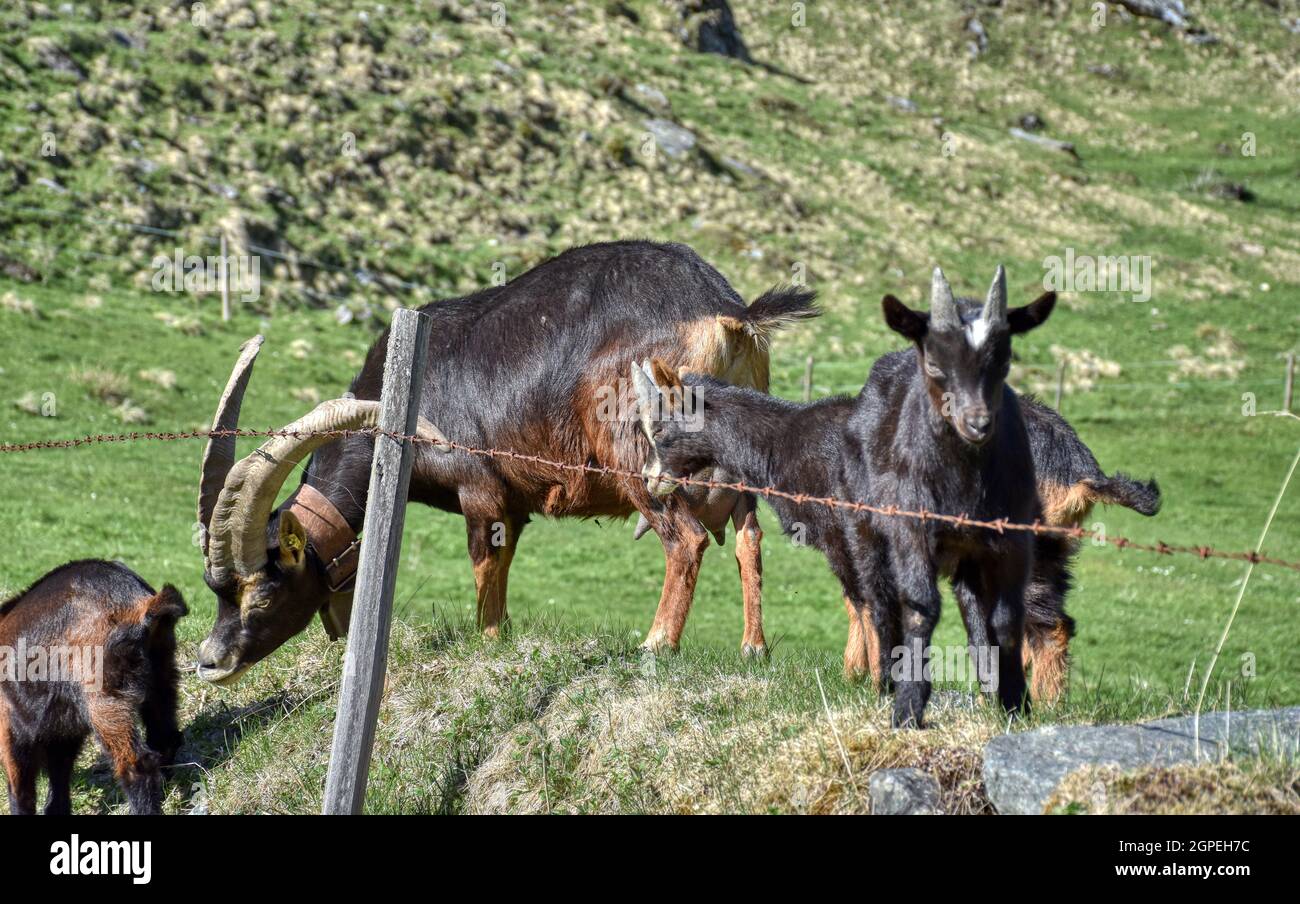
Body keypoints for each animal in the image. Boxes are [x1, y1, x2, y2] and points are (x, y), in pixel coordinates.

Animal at [0, 560, 186, 814]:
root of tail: (141, 603)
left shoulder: (10, 724)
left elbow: (21, 790)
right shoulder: (61, 727)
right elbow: (59, 773)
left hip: (104, 694)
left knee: (136, 763)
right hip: (162, 669)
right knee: (165, 735)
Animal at [193, 241, 818, 684]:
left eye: (263, 593)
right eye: (214, 590)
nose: (210, 662)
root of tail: (728, 312)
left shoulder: (481, 489)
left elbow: (485, 565)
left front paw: (487, 641)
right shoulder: (513, 505)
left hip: (641, 455)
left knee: (685, 538)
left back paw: (656, 645)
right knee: (748, 535)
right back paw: (753, 649)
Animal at [635, 266, 1055, 727]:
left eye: (657, 427)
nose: (648, 479)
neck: (790, 440)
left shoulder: (845, 534)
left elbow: (867, 603)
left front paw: (875, 683)